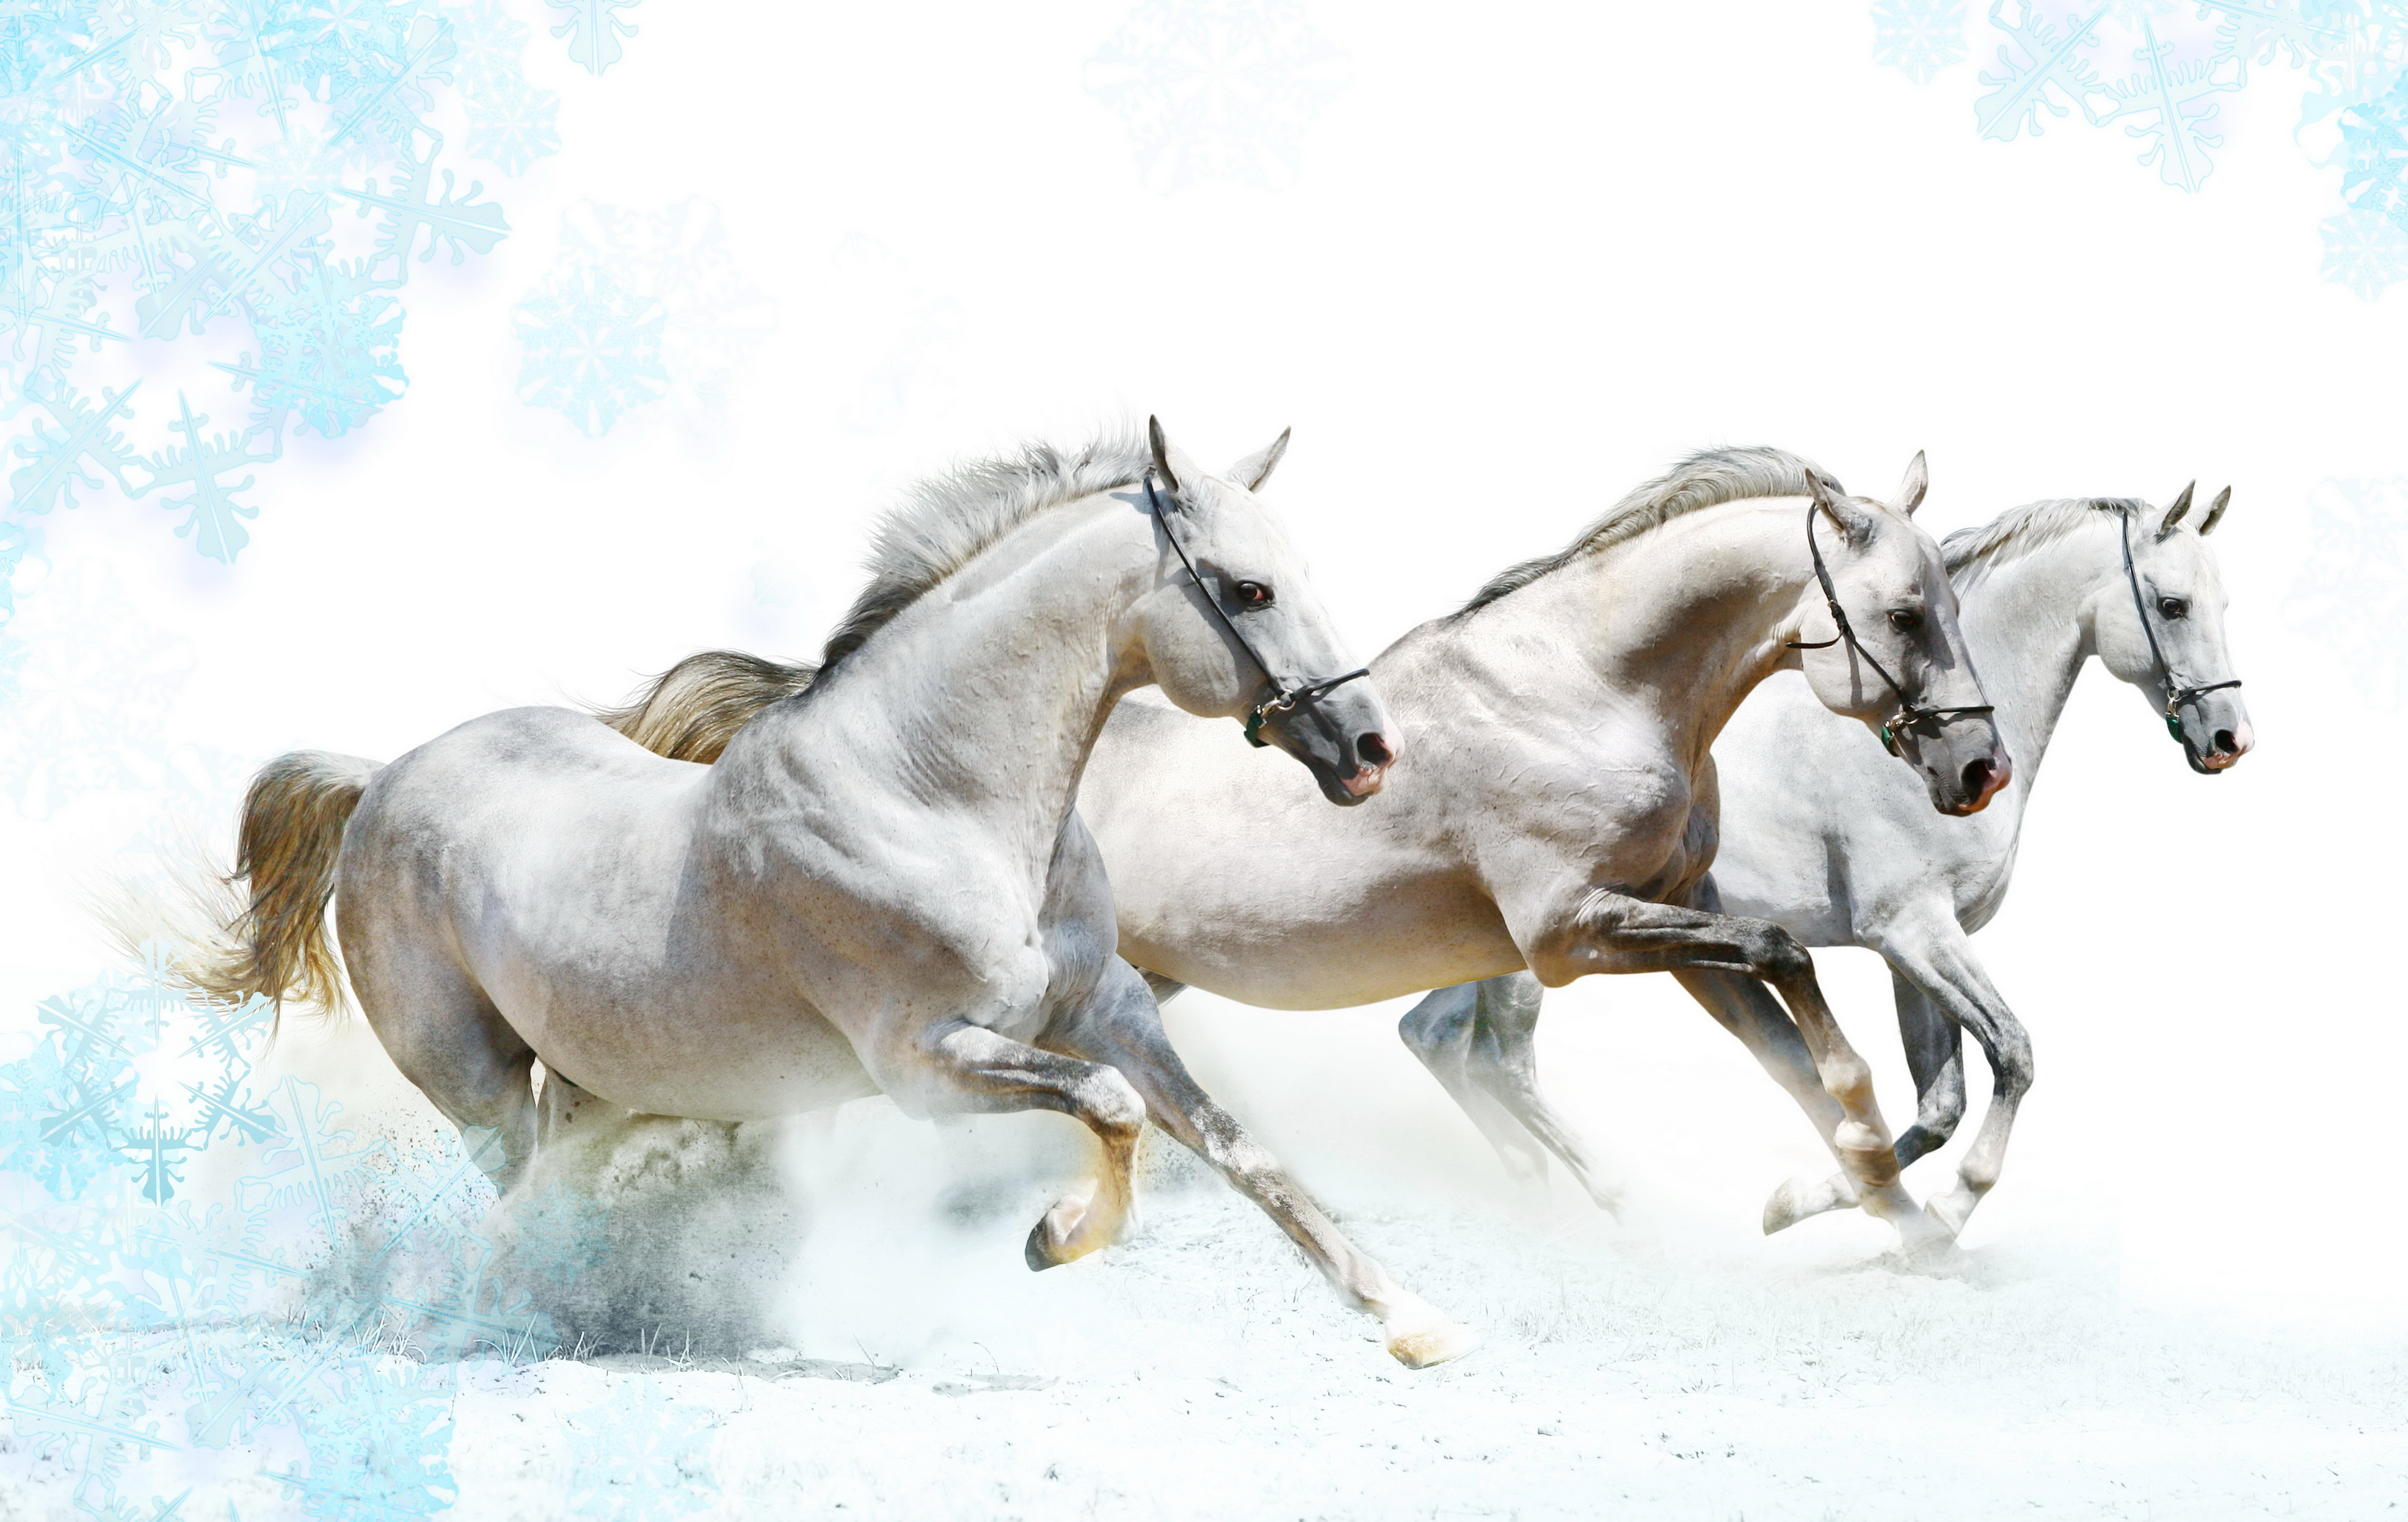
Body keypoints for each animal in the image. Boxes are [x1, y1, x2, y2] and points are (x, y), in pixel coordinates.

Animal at [185, 421, 1483, 1369]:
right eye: (1247, 589)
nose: (1370, 747)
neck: (933, 792)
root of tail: (381, 776)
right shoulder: (925, 1061)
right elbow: (1114, 1112)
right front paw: (1054, 1239)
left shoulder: (1107, 1007)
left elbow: (1235, 1147)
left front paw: (1414, 1321)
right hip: (478, 1083)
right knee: (525, 1190)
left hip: (595, 1077)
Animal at [1404, 485, 2252, 1238]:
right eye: (2172, 605)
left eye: (2221, 605)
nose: (2228, 740)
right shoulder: (1911, 932)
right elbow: (2010, 1053)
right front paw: (1940, 1210)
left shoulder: (1915, 948)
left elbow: (1938, 1104)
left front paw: (1818, 1200)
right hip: (1544, 952)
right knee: (1498, 1061)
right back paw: (1610, 1203)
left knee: (1433, 1037)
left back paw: (1531, 1193)